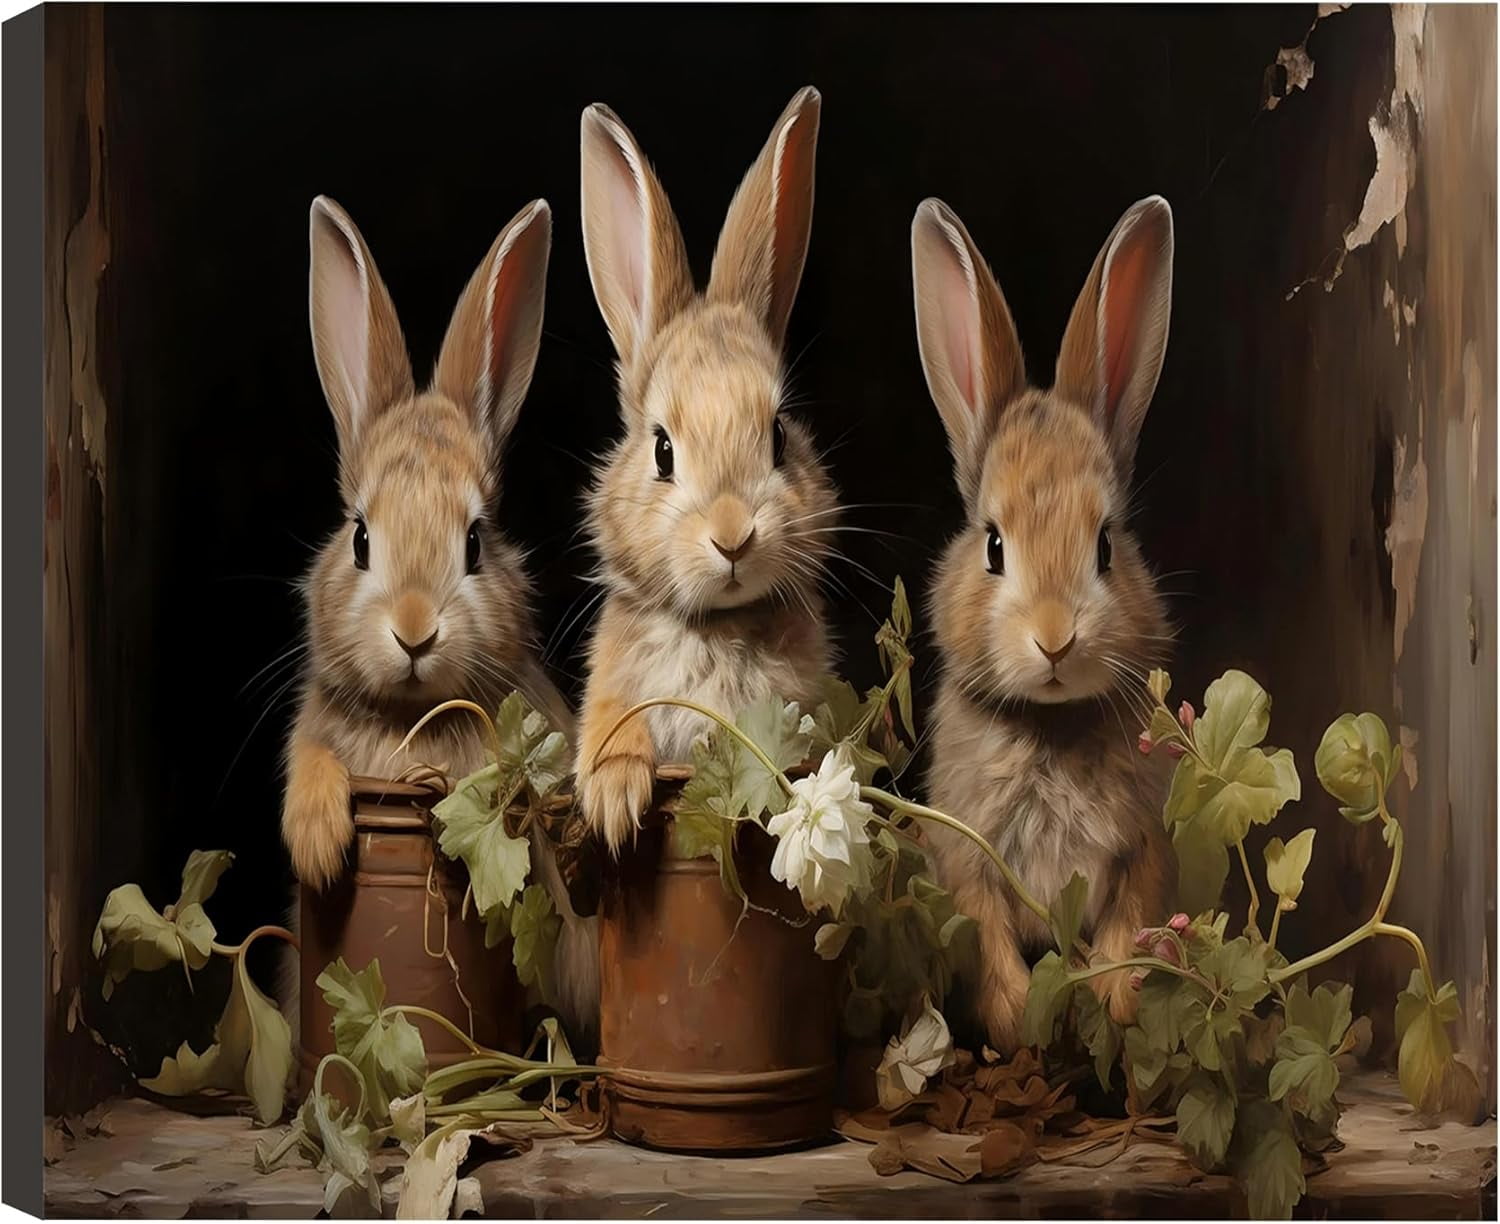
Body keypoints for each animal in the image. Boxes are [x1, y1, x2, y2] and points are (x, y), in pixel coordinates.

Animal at [281, 194, 597, 1038]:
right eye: (361, 537)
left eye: (476, 541)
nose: (415, 630)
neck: (412, 715)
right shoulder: (317, 729)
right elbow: (310, 759)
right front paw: (318, 842)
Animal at [573, 86, 839, 853]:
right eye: (662, 449)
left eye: (779, 436)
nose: (732, 536)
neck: (716, 626)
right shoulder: (614, 682)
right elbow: (613, 726)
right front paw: (612, 803)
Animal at [910, 195, 1177, 1052]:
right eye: (994, 544)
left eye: (1106, 544)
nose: (1056, 637)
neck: (1052, 725)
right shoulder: (966, 852)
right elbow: (989, 939)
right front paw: (1022, 1024)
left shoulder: (1141, 849)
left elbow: (1127, 929)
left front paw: (1113, 1003)